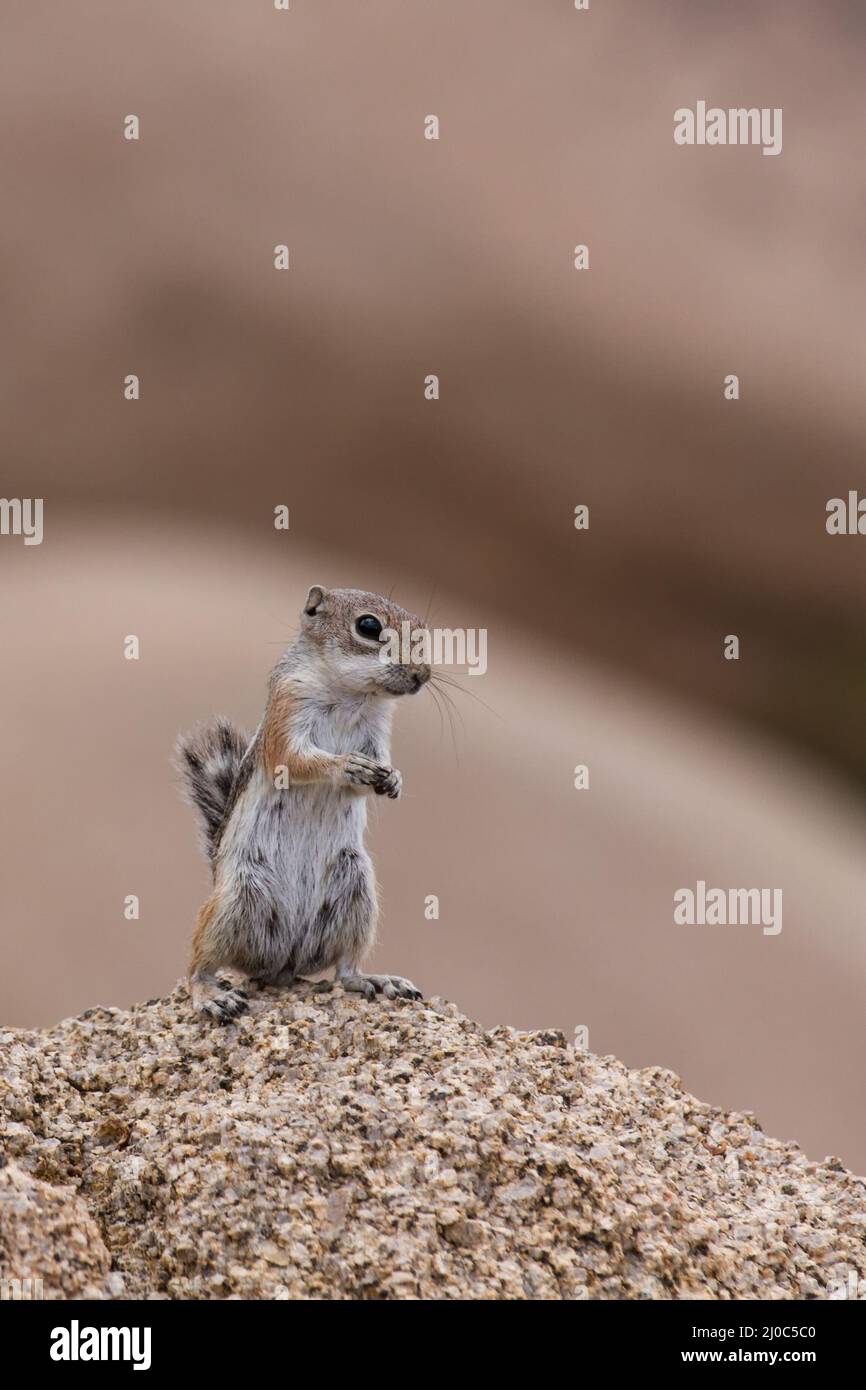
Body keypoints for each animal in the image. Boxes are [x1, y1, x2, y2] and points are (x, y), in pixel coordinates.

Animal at [177, 585, 431, 1021]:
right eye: (368, 626)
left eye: (421, 628)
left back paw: (376, 980)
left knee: (345, 969)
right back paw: (209, 994)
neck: (353, 696)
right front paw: (345, 765)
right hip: (234, 901)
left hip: (355, 891)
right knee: (199, 961)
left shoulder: (377, 733)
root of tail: (283, 966)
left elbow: (377, 769)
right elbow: (293, 761)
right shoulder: (288, 706)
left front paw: (393, 779)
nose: (422, 675)